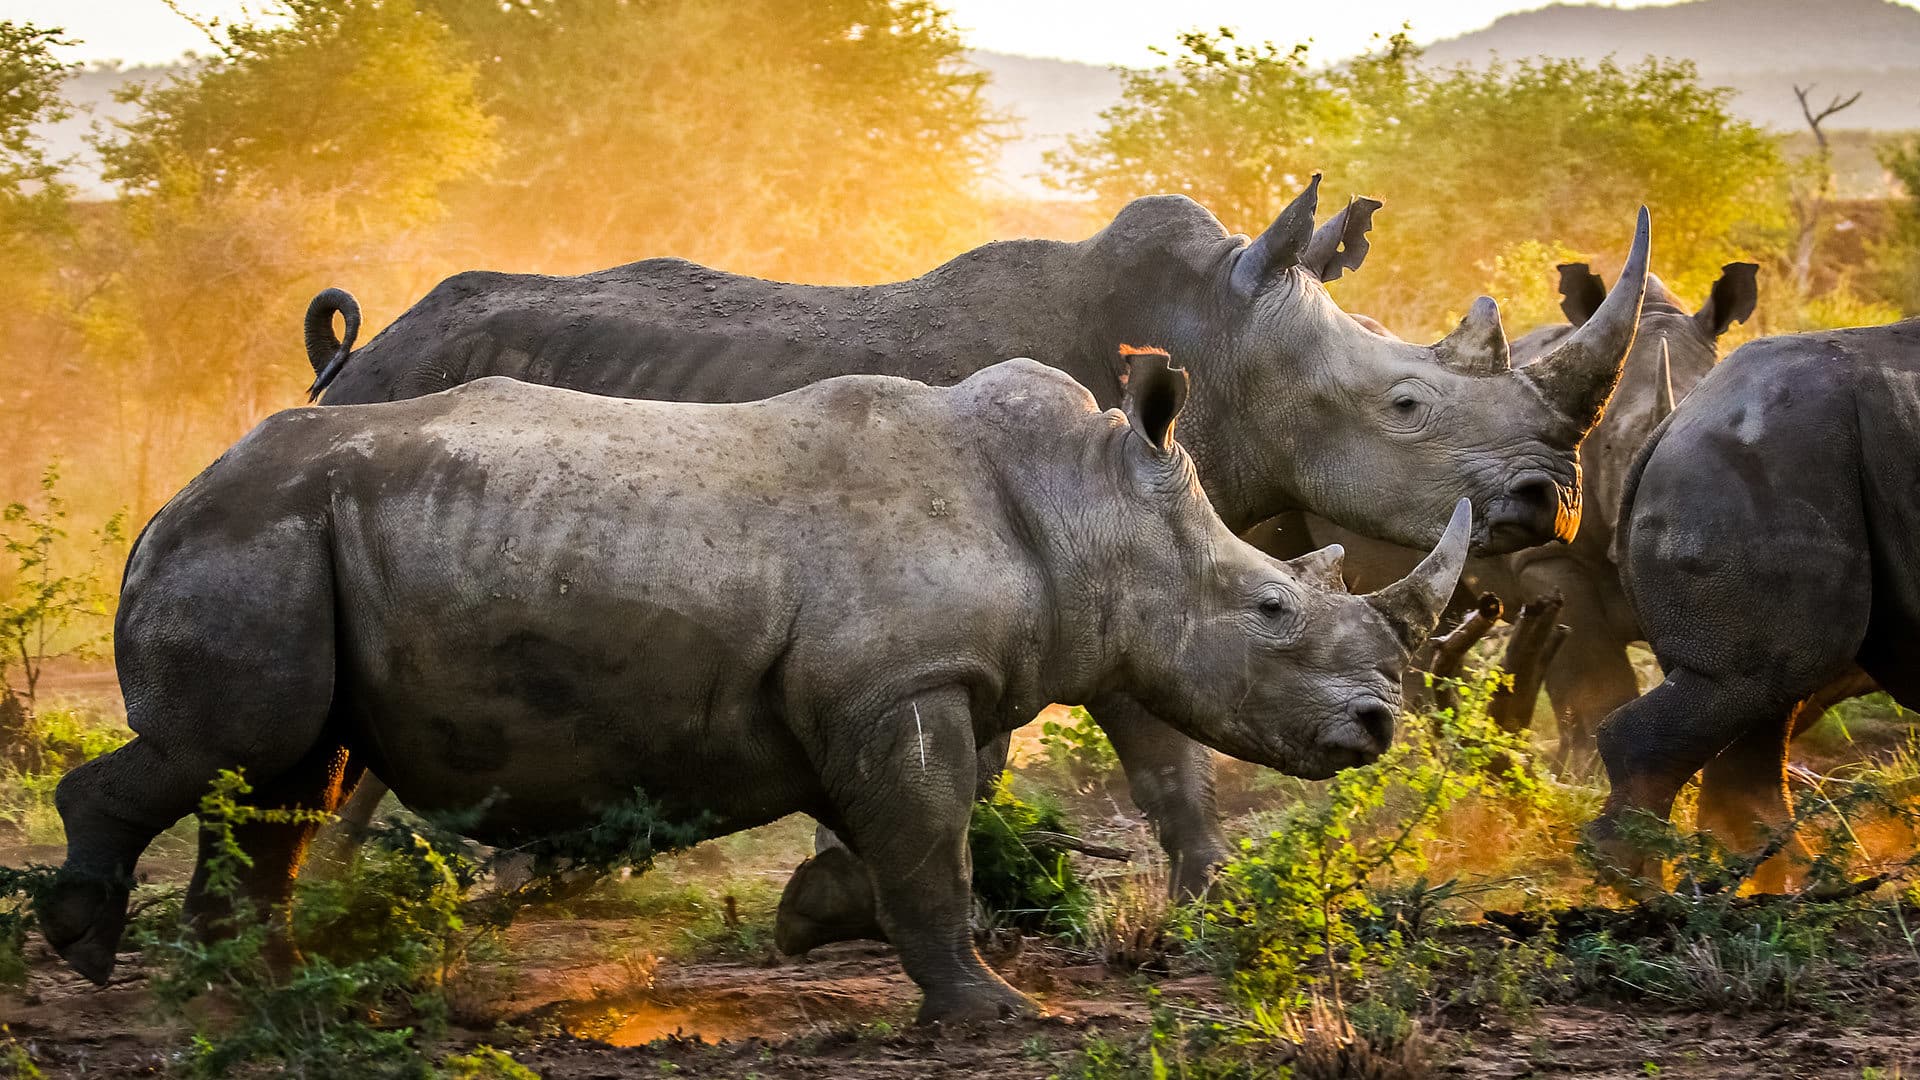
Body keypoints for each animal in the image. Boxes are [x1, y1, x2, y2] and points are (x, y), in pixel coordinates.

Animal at [42, 354, 1474, 1022]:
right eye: (1272, 611)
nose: (1376, 726)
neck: (1087, 507)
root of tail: (175, 499)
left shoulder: (897, 685)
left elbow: (912, 835)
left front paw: (812, 921)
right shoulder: (898, 682)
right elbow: (931, 846)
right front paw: (991, 1011)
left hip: (297, 543)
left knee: (285, 770)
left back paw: (257, 988)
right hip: (257, 540)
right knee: (236, 747)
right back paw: (88, 951)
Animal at [297, 178, 1653, 901]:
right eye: (1407, 405)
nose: (1548, 501)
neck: (1218, 345)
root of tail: (356, 356)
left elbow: (1156, 758)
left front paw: (1197, 901)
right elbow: (1109, 745)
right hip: (406, 413)